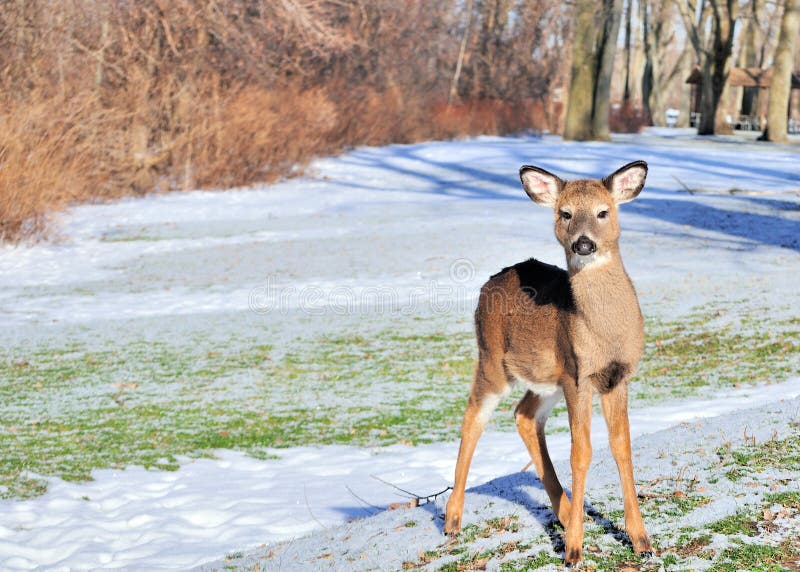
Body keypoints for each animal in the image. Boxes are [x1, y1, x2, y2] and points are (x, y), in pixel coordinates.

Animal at [443, 161, 652, 566]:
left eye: (604, 212)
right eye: (565, 213)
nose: (583, 244)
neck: (605, 334)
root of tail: (489, 283)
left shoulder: (617, 377)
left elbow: (622, 446)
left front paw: (642, 542)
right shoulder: (579, 377)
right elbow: (581, 452)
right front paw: (573, 550)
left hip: (546, 379)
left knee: (524, 415)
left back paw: (566, 511)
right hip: (493, 359)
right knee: (473, 416)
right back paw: (452, 520)